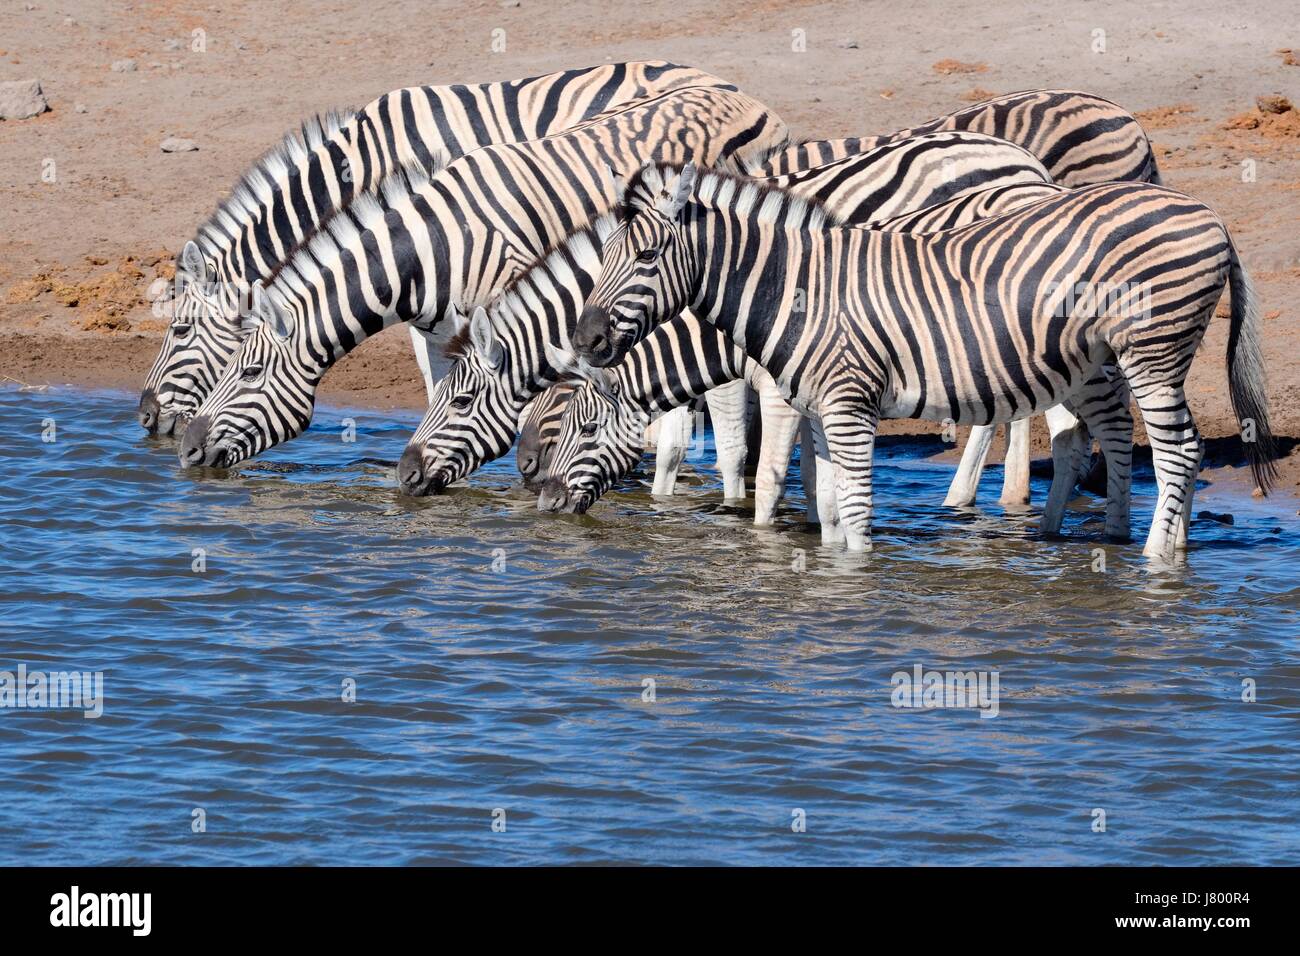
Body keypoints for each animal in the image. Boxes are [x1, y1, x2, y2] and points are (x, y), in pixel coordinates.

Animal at [176, 85, 790, 469]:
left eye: (249, 371)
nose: (183, 449)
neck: (435, 247)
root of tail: (743, 96)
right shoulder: (437, 332)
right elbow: (443, 393)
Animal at [571, 164, 1276, 560]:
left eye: (646, 258)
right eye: (604, 255)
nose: (585, 338)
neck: (794, 286)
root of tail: (1209, 213)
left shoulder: (848, 404)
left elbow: (851, 510)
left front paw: (858, 578)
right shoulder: (821, 410)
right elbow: (828, 508)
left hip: (1152, 351)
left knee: (1179, 450)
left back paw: (1156, 562)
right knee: (1138, 440)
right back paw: (1136, 544)